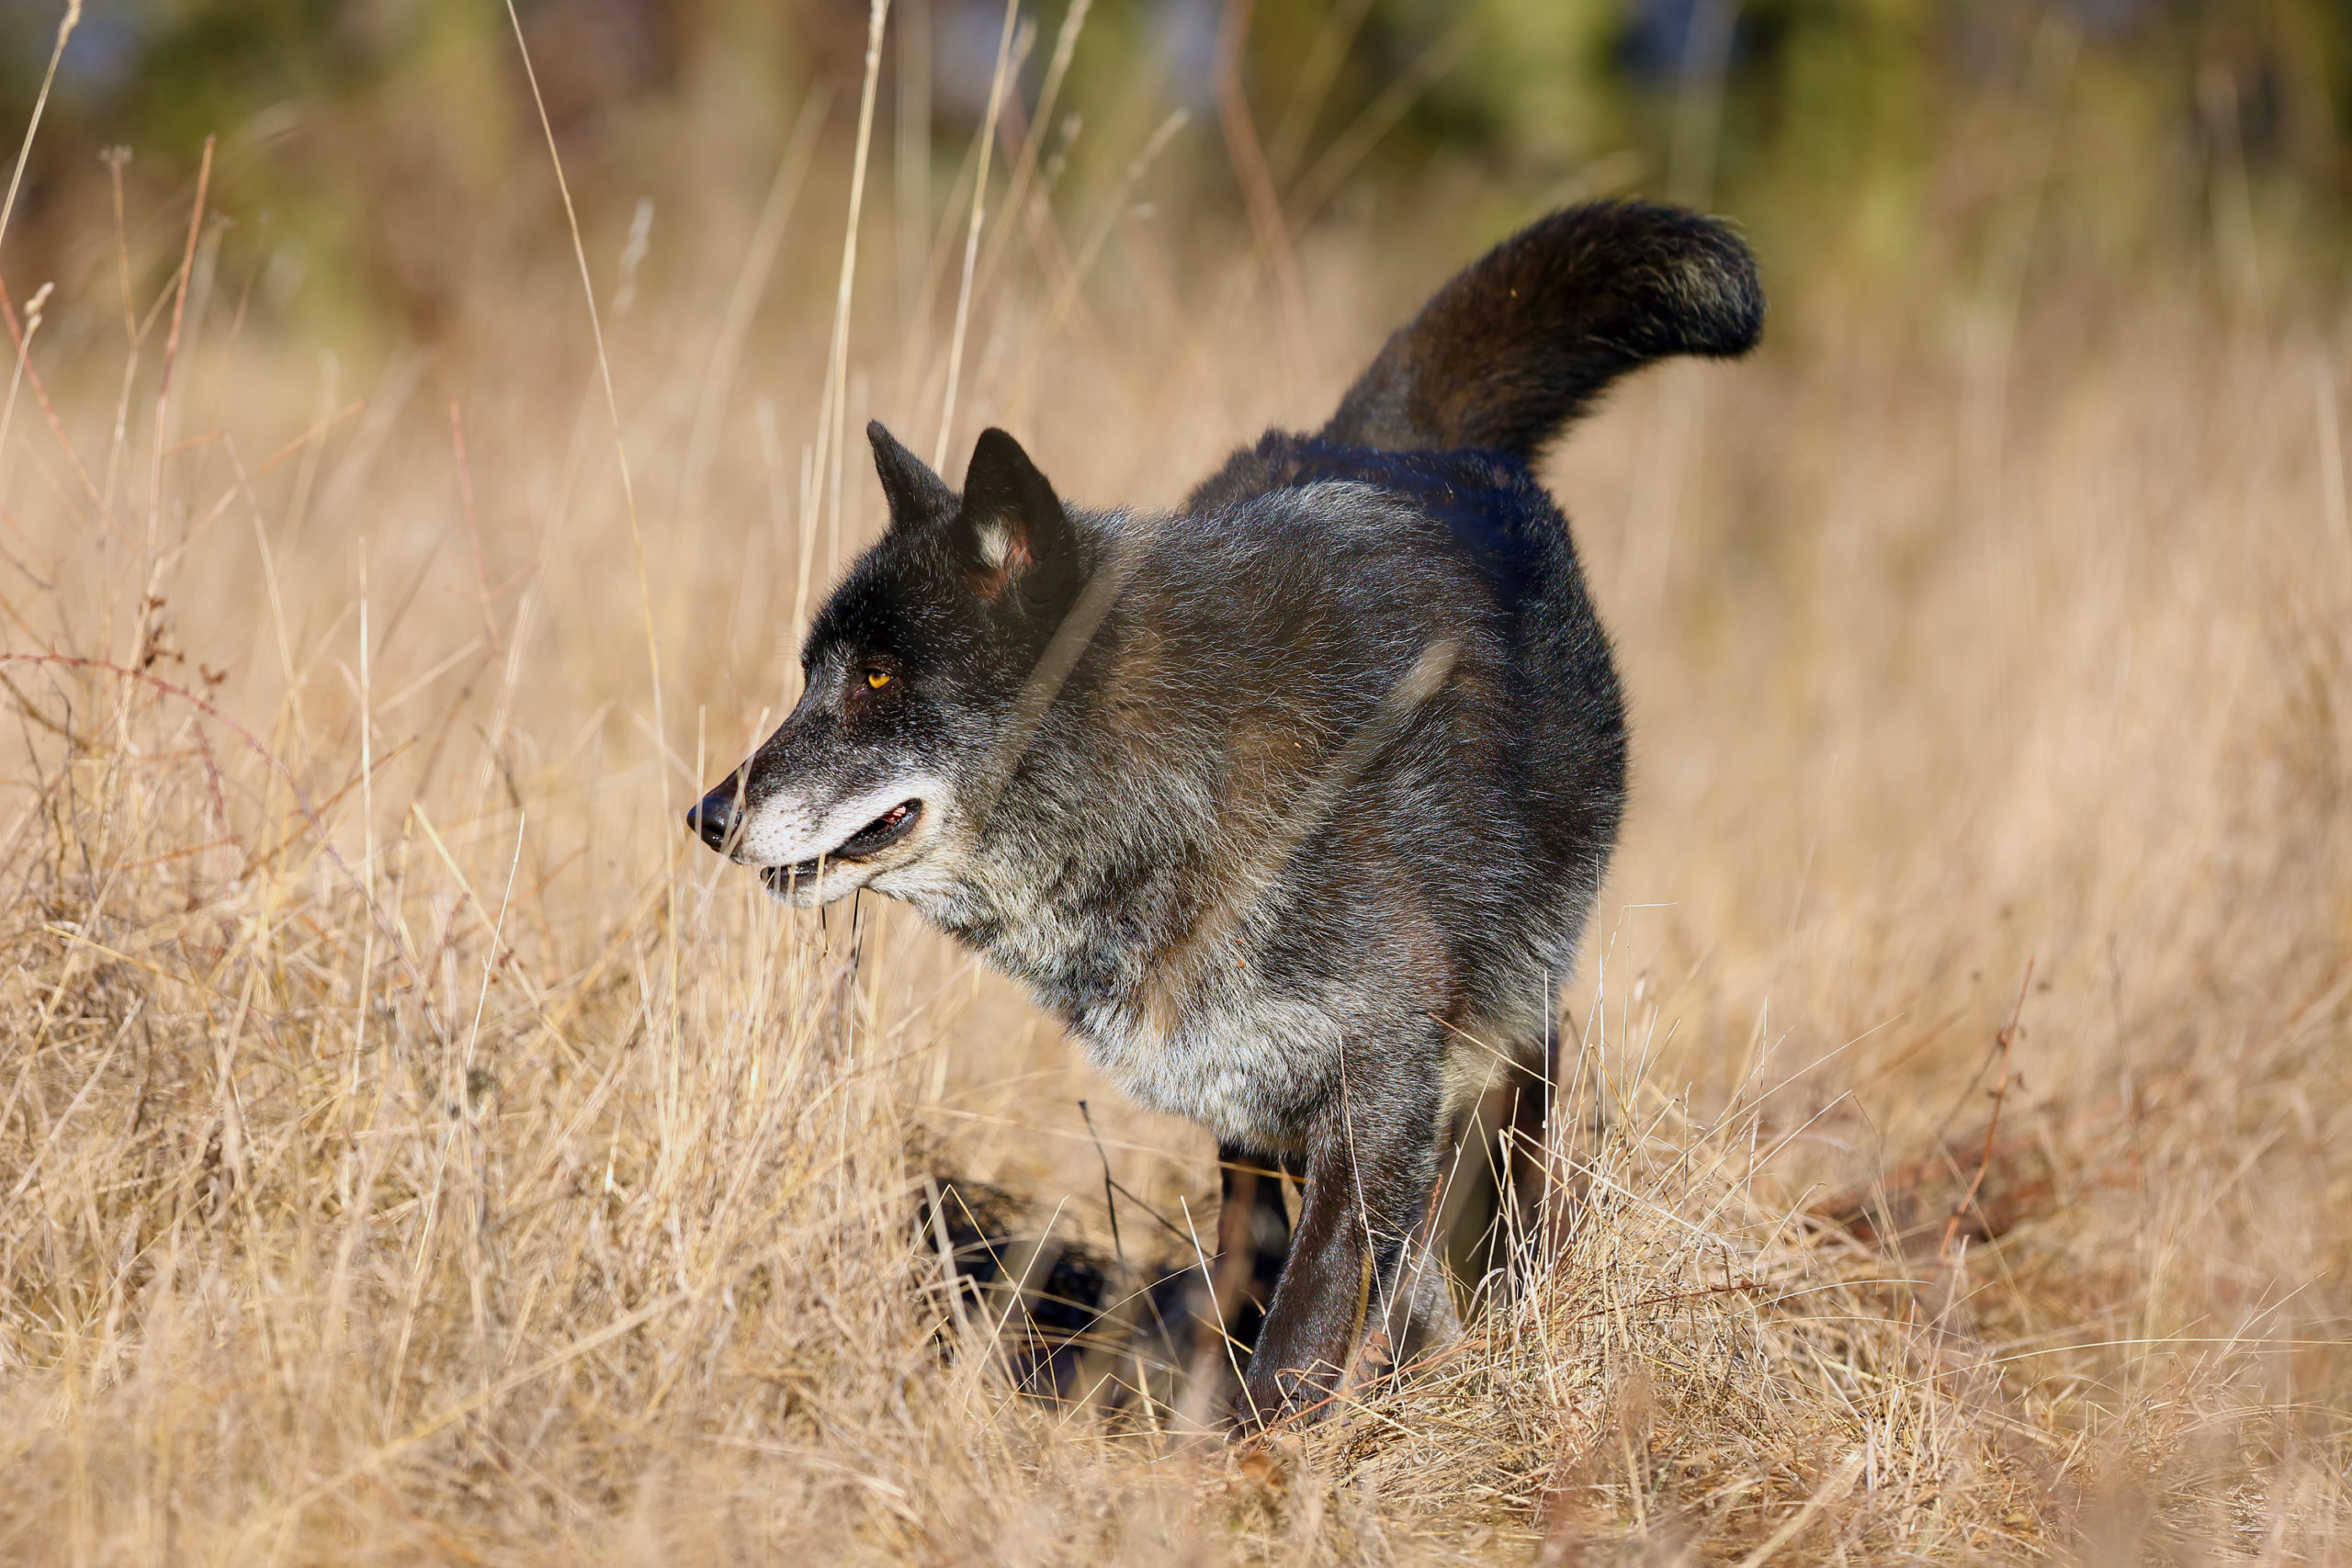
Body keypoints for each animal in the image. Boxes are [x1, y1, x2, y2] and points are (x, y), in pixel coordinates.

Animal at [688, 201, 1763, 1428]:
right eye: (809, 674)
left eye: (876, 680)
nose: (708, 814)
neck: (1182, 789)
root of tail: (1383, 439)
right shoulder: (1258, 1092)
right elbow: (1291, 1281)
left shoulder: (1378, 1089)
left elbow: (1308, 1333)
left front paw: (1270, 1456)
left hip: (1511, 1030)